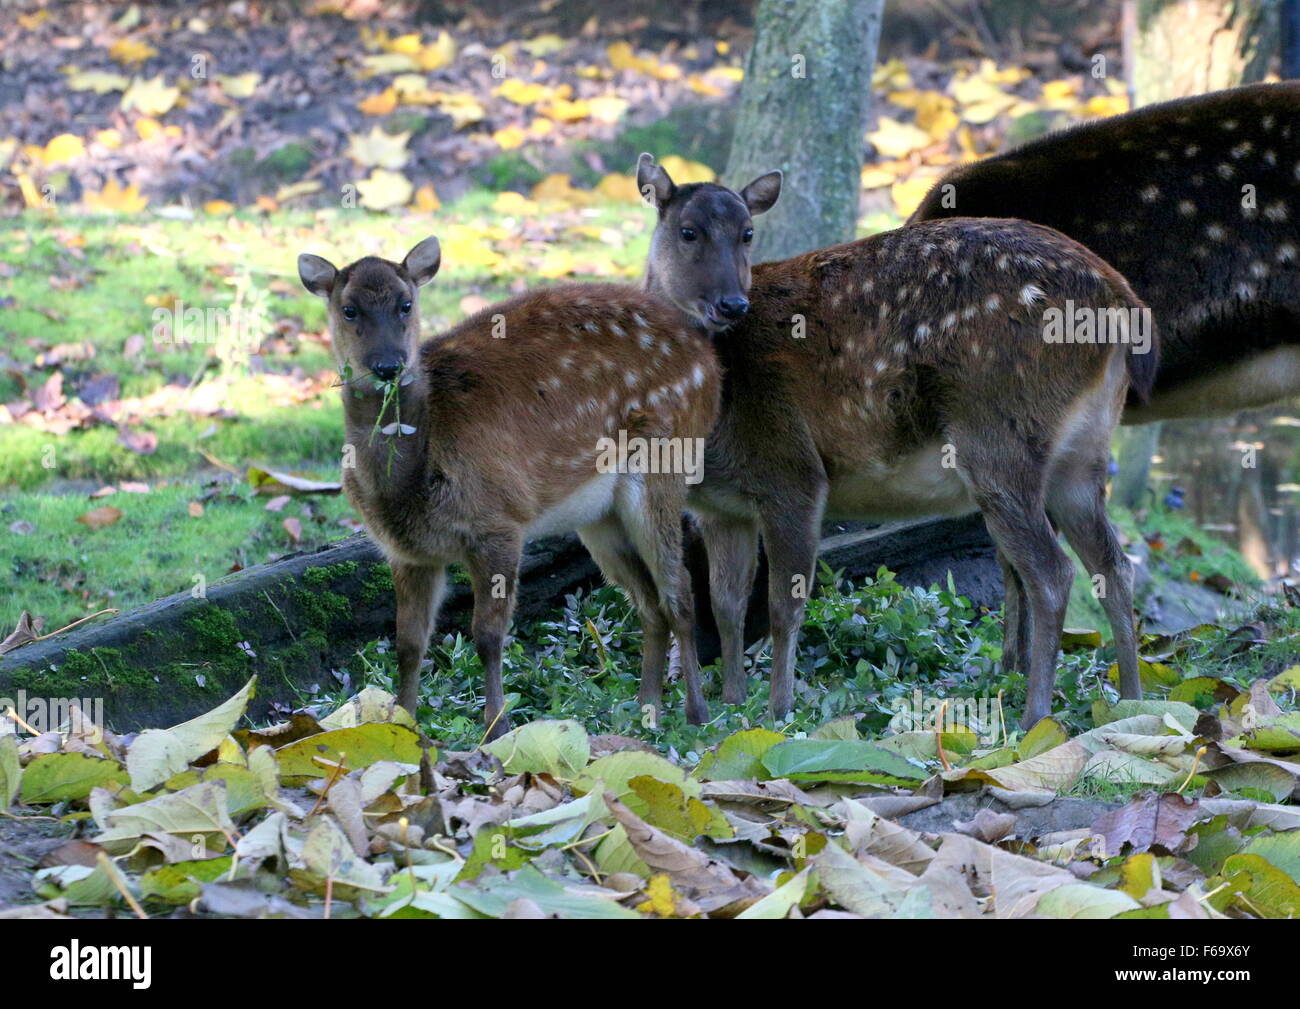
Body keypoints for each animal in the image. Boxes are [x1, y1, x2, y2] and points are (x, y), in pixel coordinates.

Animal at [298, 237, 720, 738]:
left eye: (406, 303)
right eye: (348, 309)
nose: (387, 365)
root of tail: (712, 365)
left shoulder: (500, 520)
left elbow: (487, 635)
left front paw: (496, 728)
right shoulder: (405, 551)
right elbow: (408, 642)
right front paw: (404, 724)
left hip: (664, 460)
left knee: (680, 592)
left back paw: (696, 714)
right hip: (598, 516)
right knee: (649, 602)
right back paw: (645, 710)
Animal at [637, 153, 1157, 728]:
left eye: (747, 233)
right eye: (688, 231)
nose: (732, 304)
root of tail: (1123, 303)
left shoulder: (791, 470)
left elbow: (782, 604)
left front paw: (779, 709)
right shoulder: (720, 507)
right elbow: (726, 605)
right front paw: (730, 704)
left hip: (998, 435)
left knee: (1052, 572)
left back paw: (1034, 717)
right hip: (1084, 451)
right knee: (1113, 565)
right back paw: (1134, 702)